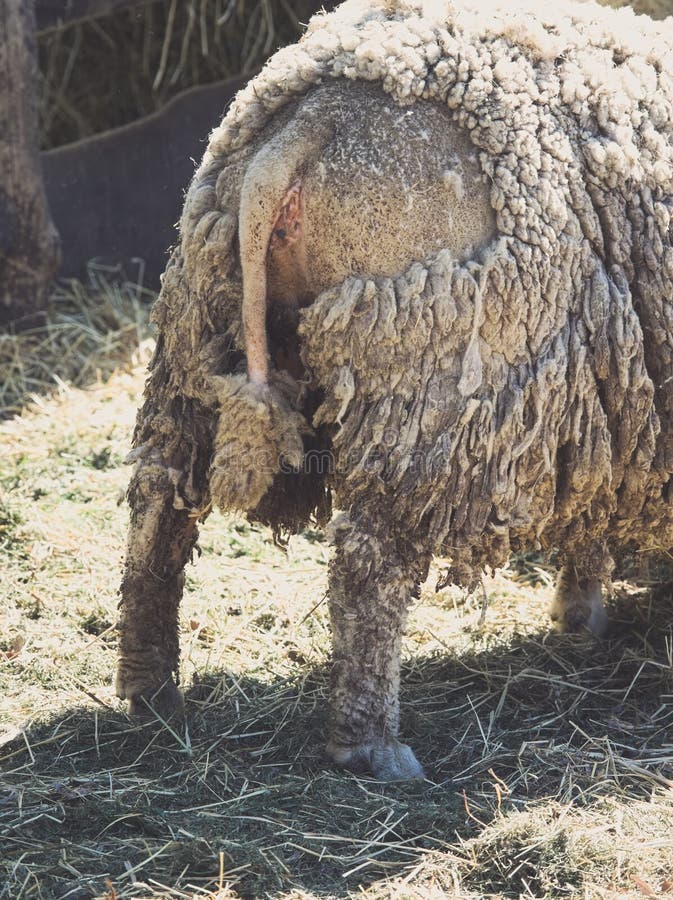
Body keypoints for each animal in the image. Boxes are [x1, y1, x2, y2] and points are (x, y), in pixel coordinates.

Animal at [116, 0, 673, 780]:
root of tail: (311, 122)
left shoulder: (605, 409)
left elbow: (587, 515)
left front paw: (577, 611)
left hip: (196, 323)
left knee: (158, 505)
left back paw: (150, 689)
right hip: (426, 388)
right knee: (368, 563)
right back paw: (370, 745)